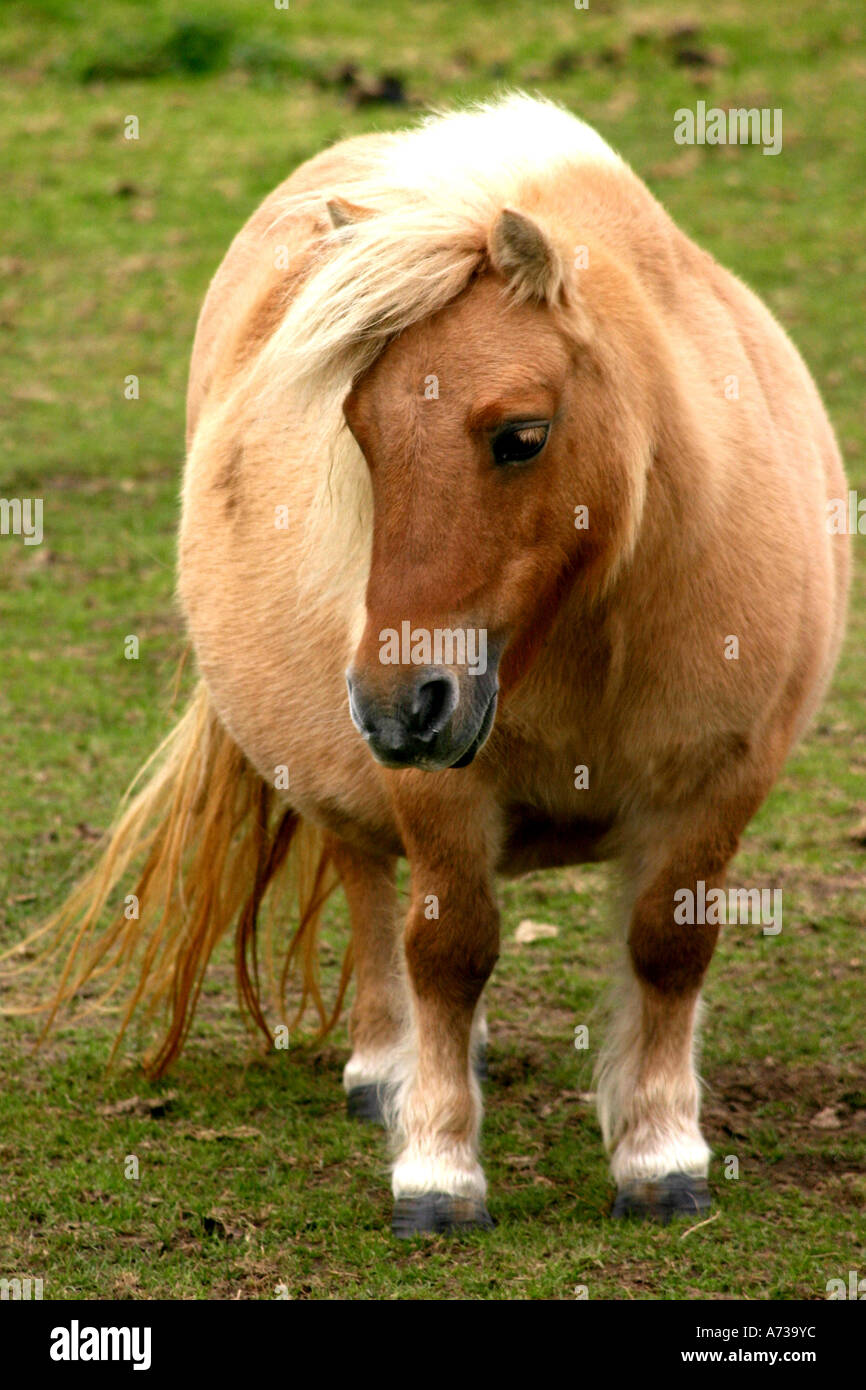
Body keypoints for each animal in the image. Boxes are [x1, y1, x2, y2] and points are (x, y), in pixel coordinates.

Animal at [11, 94, 849, 1235]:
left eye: (521, 436)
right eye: (358, 431)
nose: (397, 703)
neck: (595, 625)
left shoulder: (717, 788)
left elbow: (666, 952)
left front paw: (660, 1157)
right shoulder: (441, 800)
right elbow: (448, 954)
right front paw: (438, 1170)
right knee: (371, 891)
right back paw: (384, 1070)